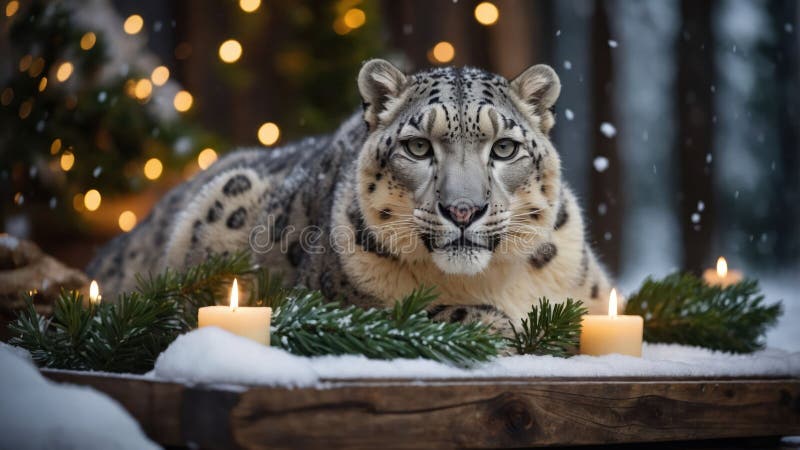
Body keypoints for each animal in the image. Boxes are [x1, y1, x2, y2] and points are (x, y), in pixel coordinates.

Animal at [87, 59, 613, 337]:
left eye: (504, 147)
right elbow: (409, 310)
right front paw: (498, 328)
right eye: (418, 147)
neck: (490, 282)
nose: (463, 210)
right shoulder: (329, 298)